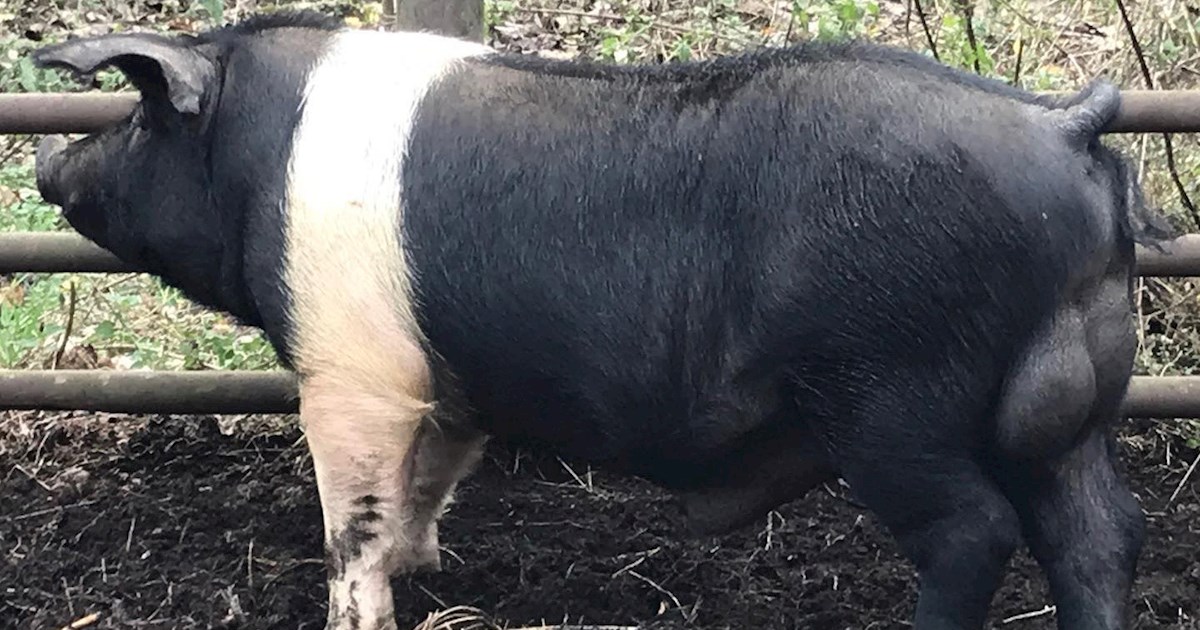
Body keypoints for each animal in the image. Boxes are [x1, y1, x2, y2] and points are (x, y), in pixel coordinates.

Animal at [32, 10, 1174, 630]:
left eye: (139, 118)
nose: (48, 161)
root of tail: (1066, 131)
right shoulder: (450, 382)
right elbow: (426, 485)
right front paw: (426, 569)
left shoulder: (351, 367)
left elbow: (350, 517)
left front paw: (359, 605)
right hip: (1069, 407)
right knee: (1100, 533)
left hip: (891, 392)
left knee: (971, 531)